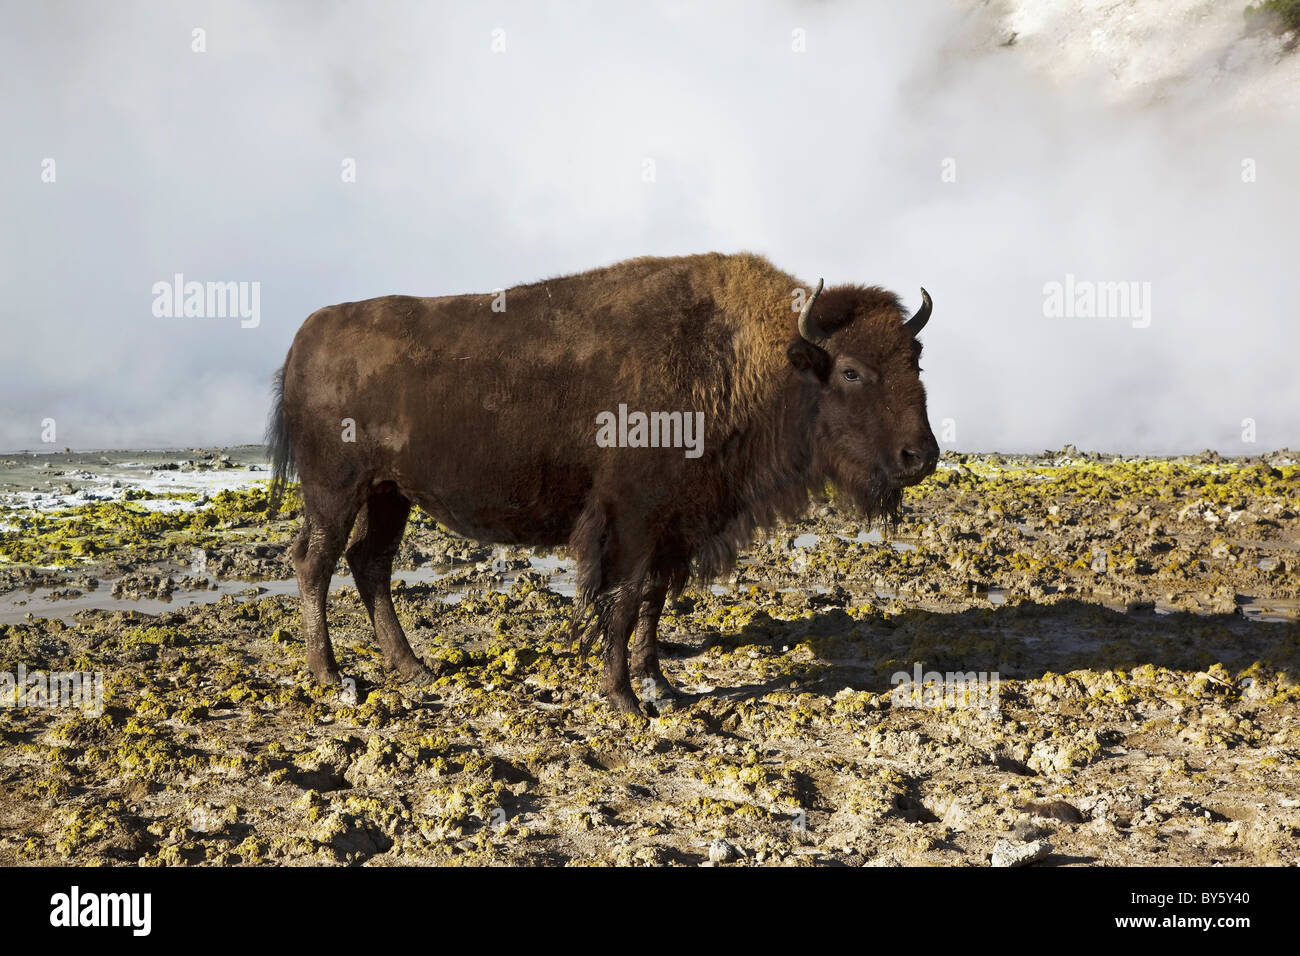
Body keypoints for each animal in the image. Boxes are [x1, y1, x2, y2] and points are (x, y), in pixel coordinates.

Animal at [267, 252, 938, 714]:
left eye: (916, 360)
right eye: (850, 371)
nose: (920, 456)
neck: (747, 358)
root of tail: (304, 337)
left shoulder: (674, 526)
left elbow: (653, 604)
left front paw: (661, 685)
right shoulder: (631, 522)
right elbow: (623, 602)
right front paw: (624, 698)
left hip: (389, 494)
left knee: (369, 562)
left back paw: (412, 668)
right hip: (336, 490)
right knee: (315, 561)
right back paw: (331, 675)